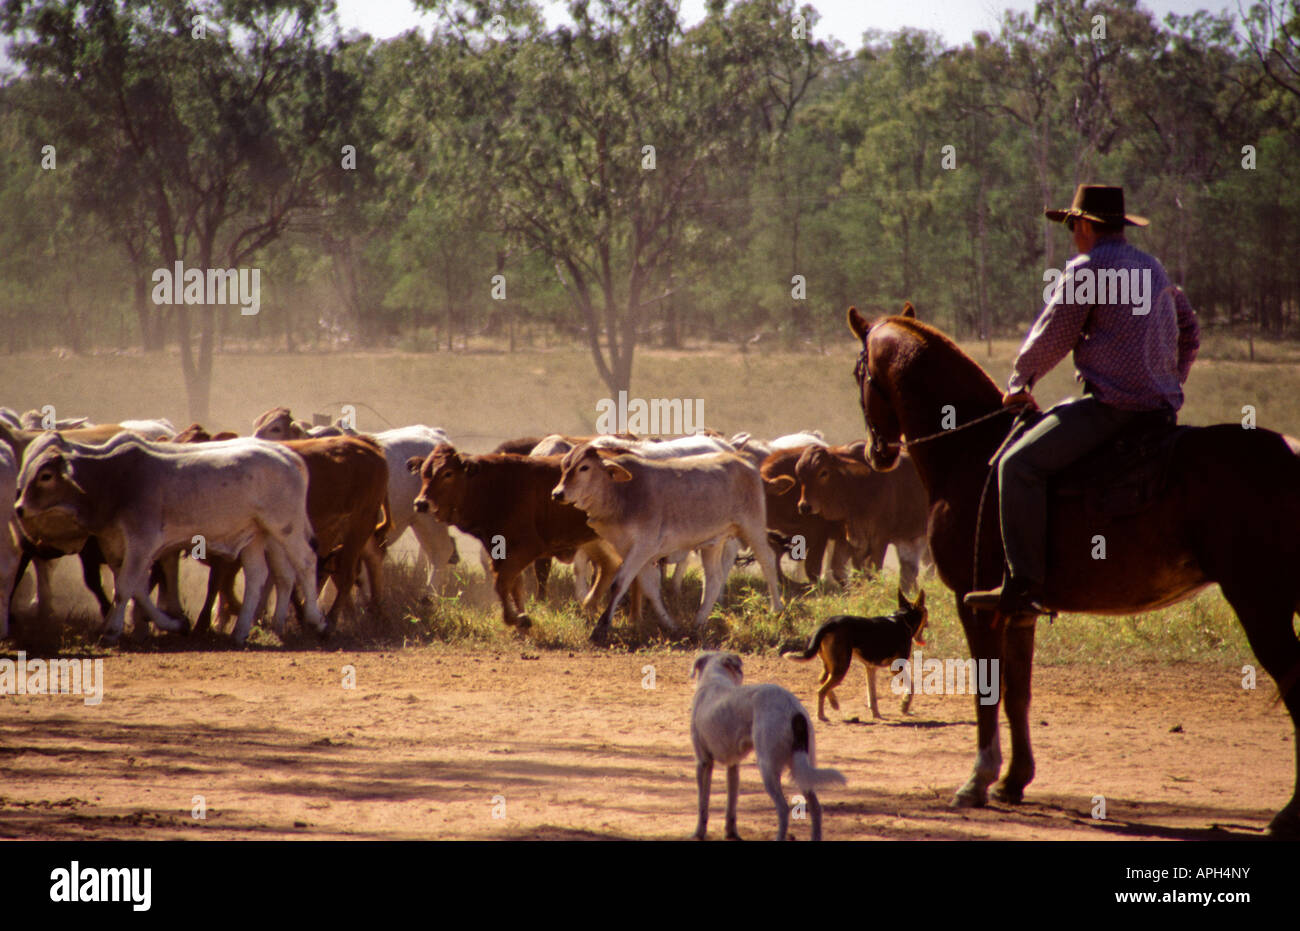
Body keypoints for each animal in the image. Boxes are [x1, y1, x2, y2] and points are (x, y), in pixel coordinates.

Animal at [846, 301, 1300, 836]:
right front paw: (1013, 781)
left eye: (858, 373)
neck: (971, 453)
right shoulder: (1016, 608)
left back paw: (1288, 814)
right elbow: (1017, 694)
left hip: (1260, 602)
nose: (876, 452)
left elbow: (988, 690)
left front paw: (978, 780)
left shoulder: (974, 604)